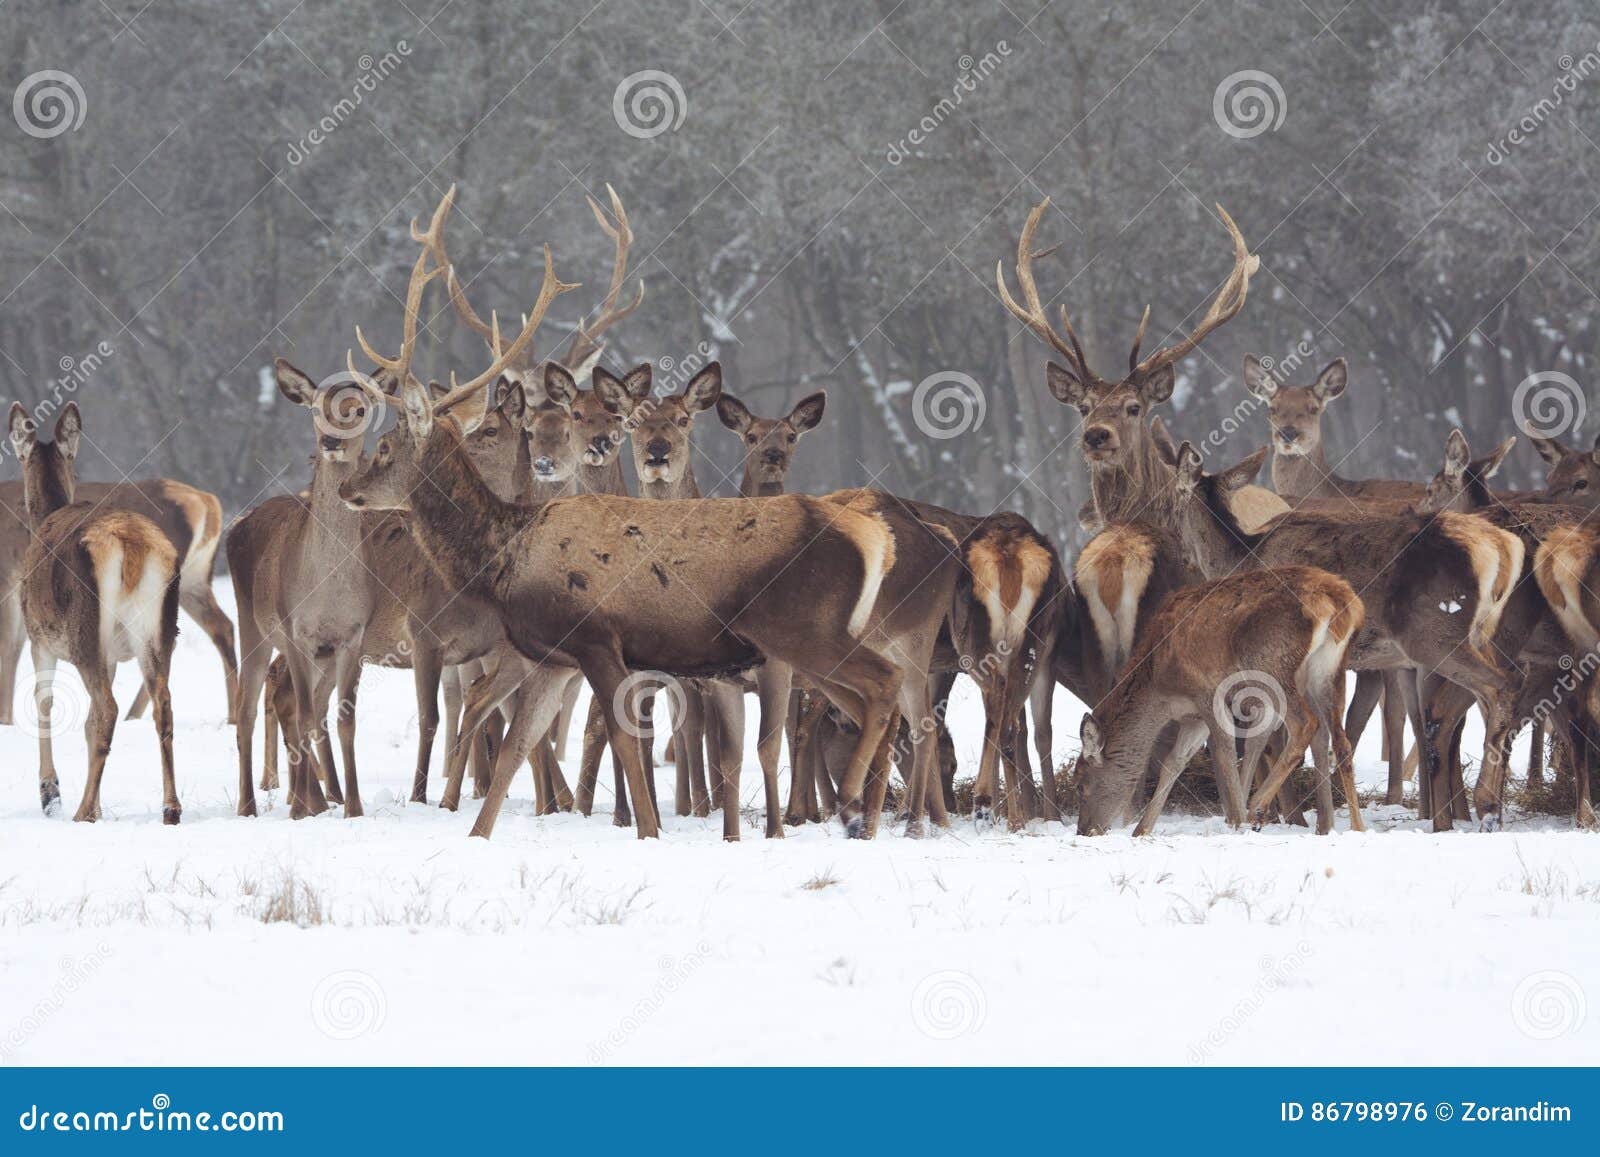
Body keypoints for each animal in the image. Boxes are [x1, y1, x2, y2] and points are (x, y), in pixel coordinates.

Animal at [6, 403, 181, 824]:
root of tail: (133, 545)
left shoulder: (39, 638)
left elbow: (44, 701)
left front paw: (50, 793)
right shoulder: (114, 654)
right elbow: (85, 721)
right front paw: (96, 802)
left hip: (84, 629)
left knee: (109, 707)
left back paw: (81, 811)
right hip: (159, 629)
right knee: (161, 704)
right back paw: (170, 807)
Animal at [1075, 565, 1364, 836]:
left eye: (1082, 784)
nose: (1084, 830)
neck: (1161, 688)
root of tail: (1341, 602)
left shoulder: (1209, 694)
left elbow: (1226, 754)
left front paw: (1237, 820)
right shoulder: (1194, 718)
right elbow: (1174, 761)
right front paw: (1141, 831)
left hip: (1269, 664)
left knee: (1306, 725)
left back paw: (1258, 808)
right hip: (1328, 670)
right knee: (1338, 739)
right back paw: (1344, 826)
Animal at [1168, 440, 1527, 832]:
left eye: (1170, 500)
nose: (1173, 546)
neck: (1240, 557)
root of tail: (1503, 548)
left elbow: (1278, 738)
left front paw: (1284, 815)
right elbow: (1324, 740)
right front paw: (1323, 822)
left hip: (1435, 635)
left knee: (1499, 686)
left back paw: (1486, 802)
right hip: (1481, 635)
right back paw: (1491, 806)